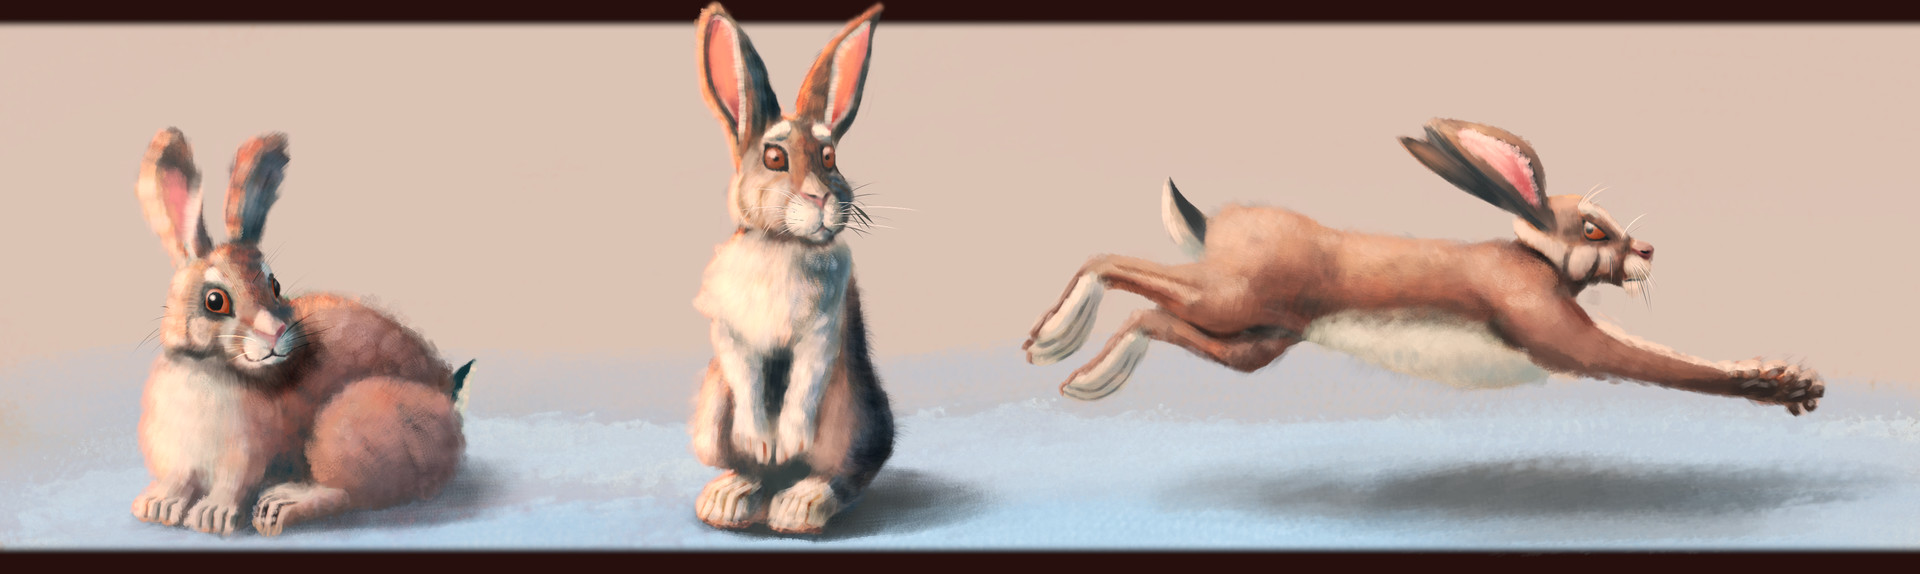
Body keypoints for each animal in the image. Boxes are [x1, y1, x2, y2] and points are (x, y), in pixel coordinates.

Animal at [129, 128, 475, 536]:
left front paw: (213, 517)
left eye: (274, 285)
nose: (276, 331)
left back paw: (281, 504)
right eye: (215, 301)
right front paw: (157, 506)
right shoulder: (179, 460)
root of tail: (447, 397)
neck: (207, 367)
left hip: (345, 430)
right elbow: (178, 482)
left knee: (345, 494)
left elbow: (231, 488)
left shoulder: (243, 459)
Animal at [685, 2, 896, 535]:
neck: (781, 244)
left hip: (854, 413)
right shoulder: (729, 332)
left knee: (844, 474)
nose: (821, 198)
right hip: (710, 410)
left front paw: (790, 440)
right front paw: (763, 442)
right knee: (752, 469)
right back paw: (731, 496)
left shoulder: (823, 330)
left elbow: (804, 381)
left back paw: (799, 504)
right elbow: (747, 377)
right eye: (775, 156)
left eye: (830, 156)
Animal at [1022, 118, 1825, 416]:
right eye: (1595, 228)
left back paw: (1086, 380)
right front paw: (1782, 383)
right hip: (1229, 298)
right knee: (1110, 262)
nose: (1650, 253)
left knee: (1150, 315)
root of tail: (1215, 224)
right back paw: (1050, 341)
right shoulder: (1568, 341)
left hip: (1255, 340)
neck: (1534, 258)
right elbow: (1664, 363)